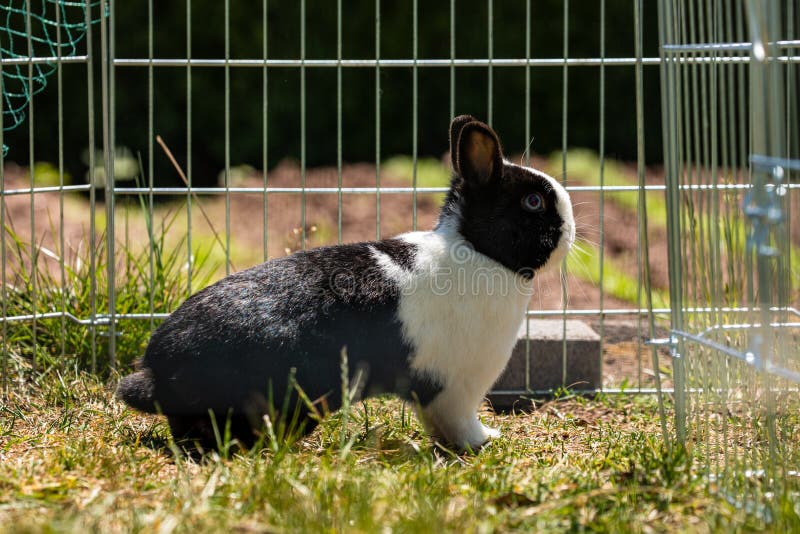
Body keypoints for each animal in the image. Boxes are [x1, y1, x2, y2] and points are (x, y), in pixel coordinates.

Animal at [117, 115, 575, 451]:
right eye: (533, 202)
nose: (571, 232)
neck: (477, 252)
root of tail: (158, 369)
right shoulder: (457, 386)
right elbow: (461, 423)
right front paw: (486, 440)